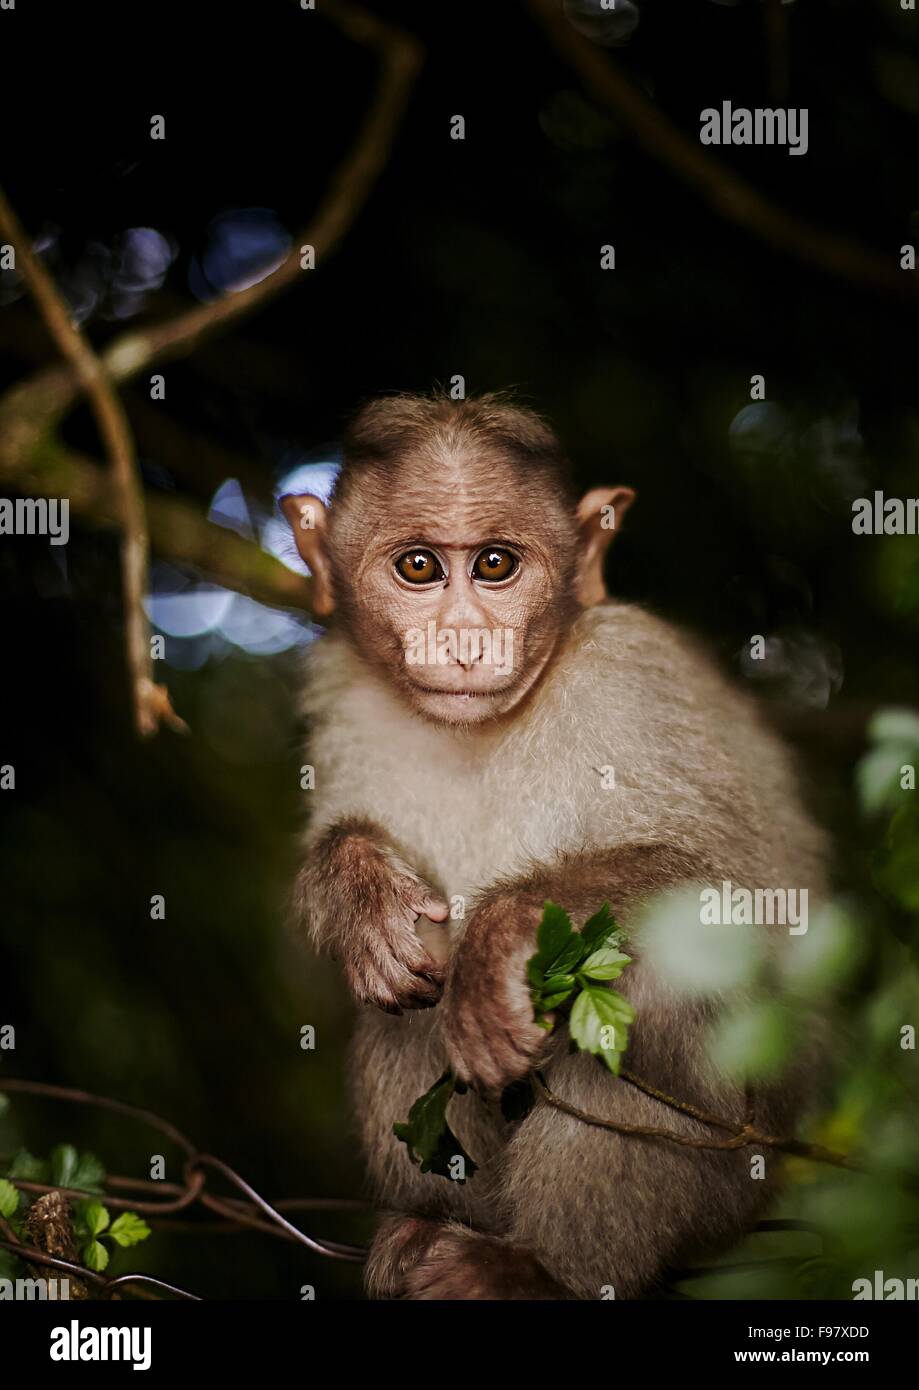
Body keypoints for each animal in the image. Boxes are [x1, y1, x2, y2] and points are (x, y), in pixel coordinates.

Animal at [282, 391, 828, 1301]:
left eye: (496, 565)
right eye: (419, 568)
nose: (463, 640)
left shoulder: (631, 677)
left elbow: (731, 892)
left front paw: (499, 935)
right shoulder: (342, 685)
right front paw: (360, 889)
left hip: (733, 1174)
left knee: (650, 1002)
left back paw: (536, 1269)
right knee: (406, 1015)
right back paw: (429, 1230)